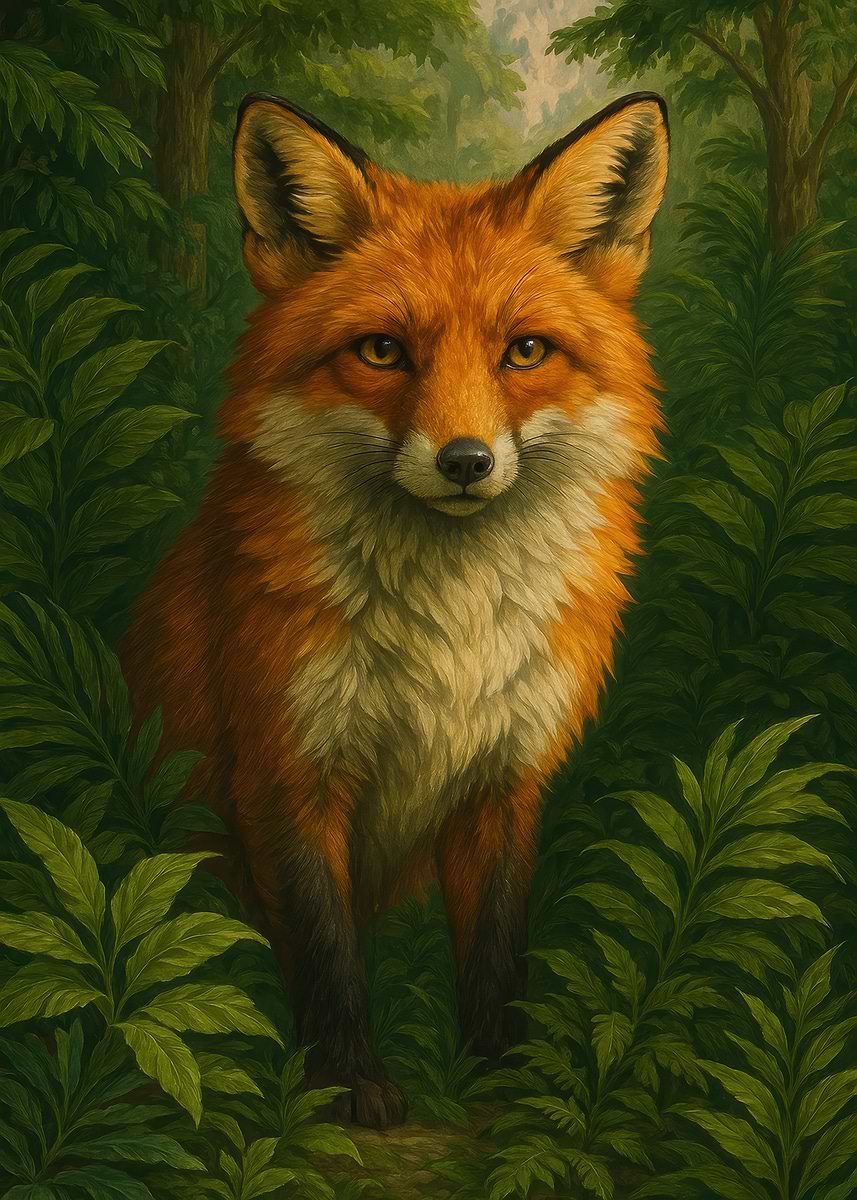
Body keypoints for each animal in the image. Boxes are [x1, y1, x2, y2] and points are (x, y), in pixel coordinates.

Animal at [122, 89, 669, 1129]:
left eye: (524, 351)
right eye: (382, 351)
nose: (464, 462)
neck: (449, 629)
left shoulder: (507, 778)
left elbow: (495, 952)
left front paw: (502, 1081)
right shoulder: (287, 771)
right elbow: (326, 951)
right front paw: (347, 1084)